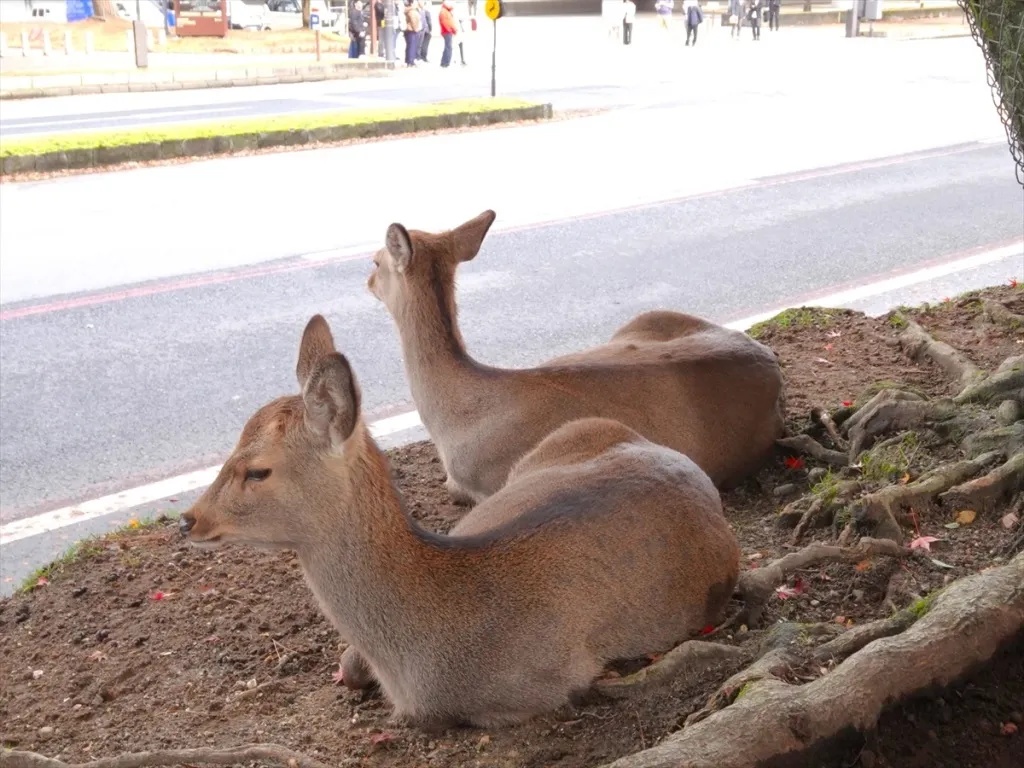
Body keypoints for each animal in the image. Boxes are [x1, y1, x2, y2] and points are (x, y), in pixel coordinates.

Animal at [366, 209, 787, 506]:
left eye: (375, 261)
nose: (367, 281)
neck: (451, 418)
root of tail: (771, 363)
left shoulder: (488, 480)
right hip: (647, 317)